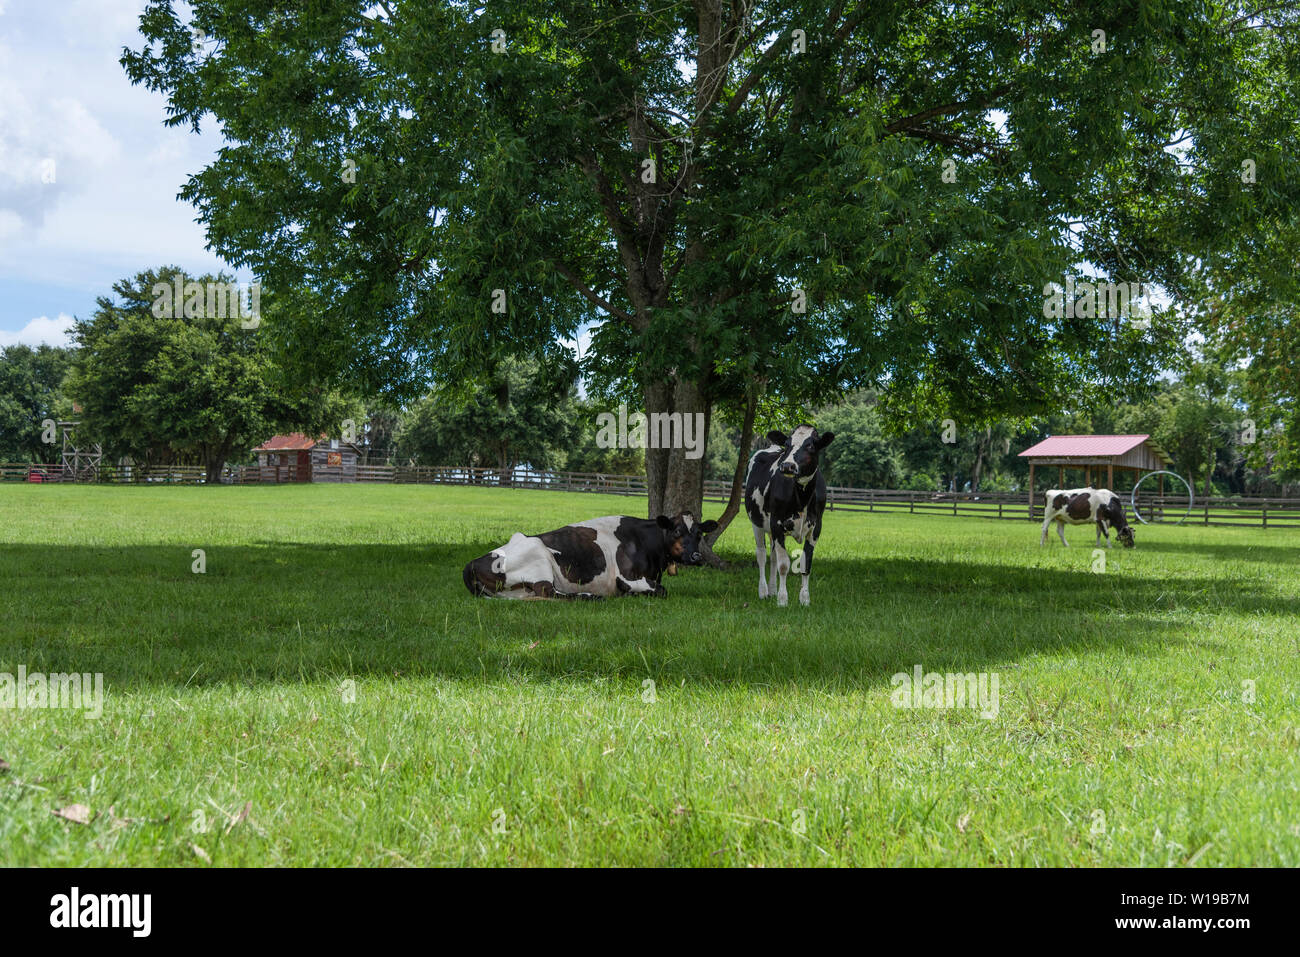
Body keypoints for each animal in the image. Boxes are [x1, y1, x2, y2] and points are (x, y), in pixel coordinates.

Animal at [463, 513, 718, 599]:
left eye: (699, 534)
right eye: (676, 531)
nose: (696, 556)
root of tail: (471, 564)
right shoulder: (627, 577)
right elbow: (661, 590)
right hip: (538, 554)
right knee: (550, 592)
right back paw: (589, 596)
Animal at [744, 425, 835, 606]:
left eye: (811, 446)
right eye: (786, 444)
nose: (787, 466)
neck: (802, 498)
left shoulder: (816, 528)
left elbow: (806, 563)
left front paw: (805, 599)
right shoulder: (777, 523)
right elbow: (784, 565)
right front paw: (782, 600)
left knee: (772, 558)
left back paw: (772, 590)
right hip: (757, 522)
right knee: (762, 555)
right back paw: (763, 591)